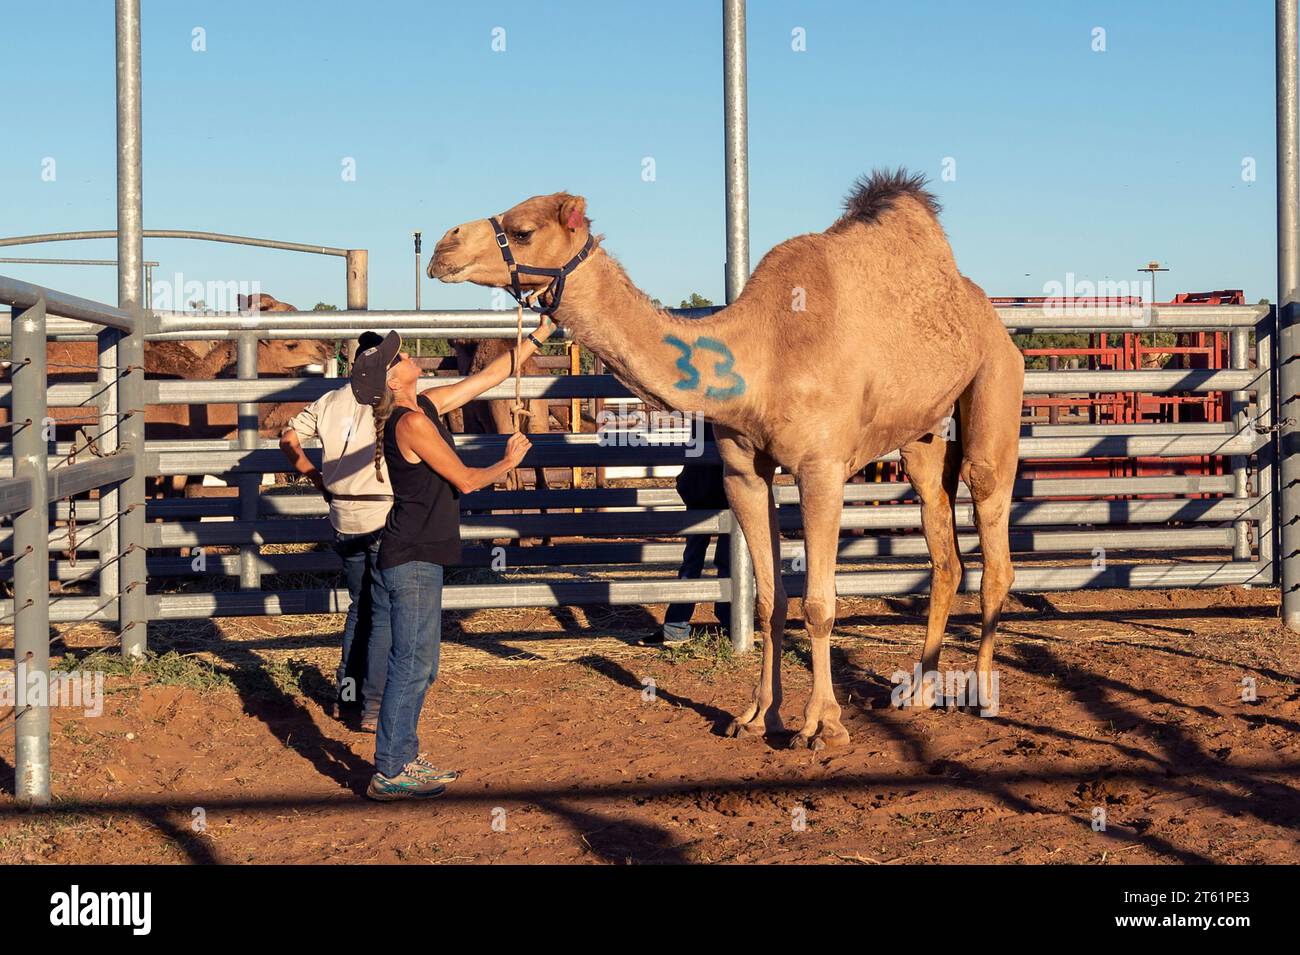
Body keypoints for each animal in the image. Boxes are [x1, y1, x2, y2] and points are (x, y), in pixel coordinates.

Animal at [430, 169, 1024, 750]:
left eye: (523, 230)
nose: (442, 244)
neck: (762, 355)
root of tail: (988, 315)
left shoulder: (822, 469)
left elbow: (818, 603)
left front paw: (822, 725)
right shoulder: (744, 471)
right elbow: (768, 601)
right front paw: (757, 717)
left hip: (997, 383)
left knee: (992, 536)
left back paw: (983, 694)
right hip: (923, 435)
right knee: (945, 552)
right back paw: (919, 692)